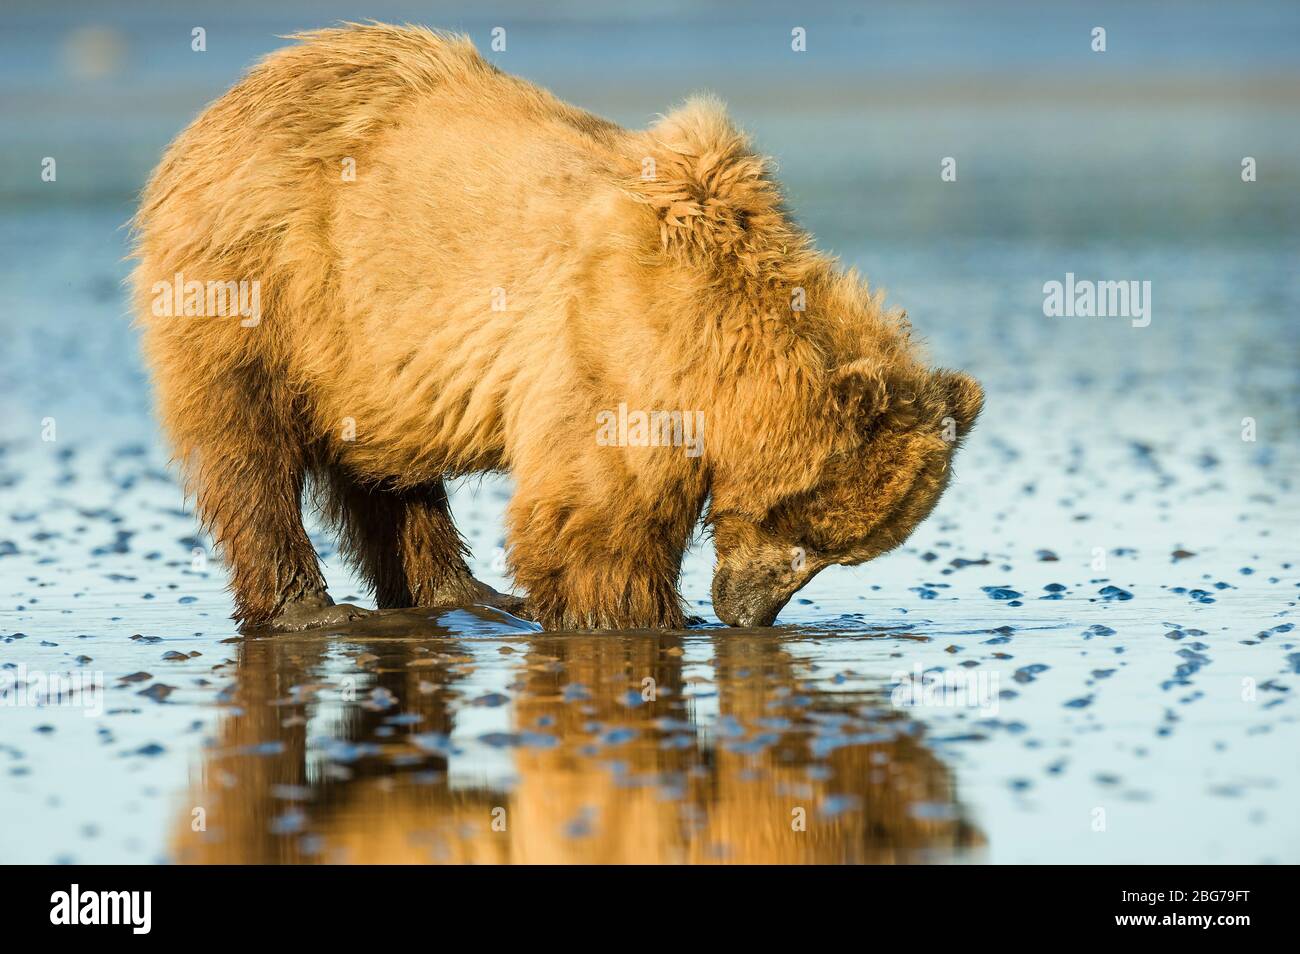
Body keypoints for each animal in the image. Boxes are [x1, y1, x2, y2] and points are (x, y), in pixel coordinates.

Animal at [131, 24, 983, 633]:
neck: (718, 340)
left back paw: (461, 593)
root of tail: (222, 106)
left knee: (387, 470)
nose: (748, 614)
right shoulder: (608, 343)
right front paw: (636, 618)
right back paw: (308, 607)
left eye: (843, 554)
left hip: (363, 353)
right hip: (265, 281)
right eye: (806, 530)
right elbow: (596, 512)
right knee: (250, 447)